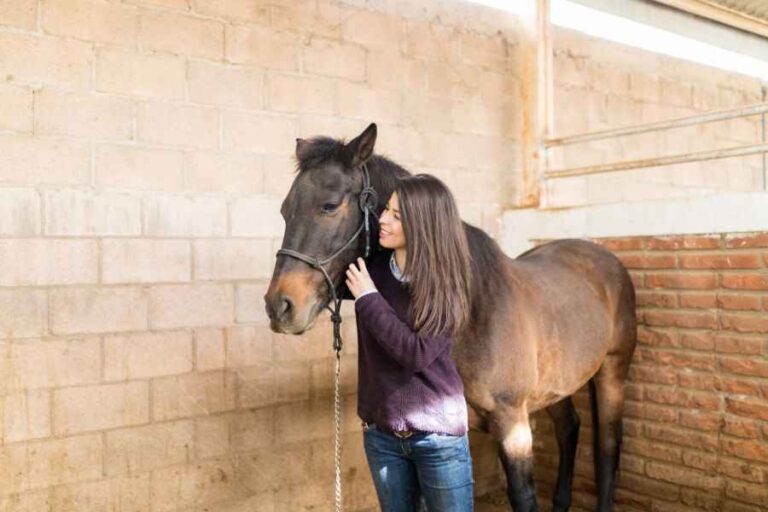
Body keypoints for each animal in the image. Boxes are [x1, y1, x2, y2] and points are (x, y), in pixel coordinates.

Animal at [264, 123, 637, 512]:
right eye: (285, 211)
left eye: (330, 205)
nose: (280, 306)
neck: (475, 311)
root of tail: (603, 256)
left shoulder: (513, 425)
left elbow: (523, 495)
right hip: (557, 384)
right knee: (569, 430)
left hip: (613, 370)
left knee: (608, 446)